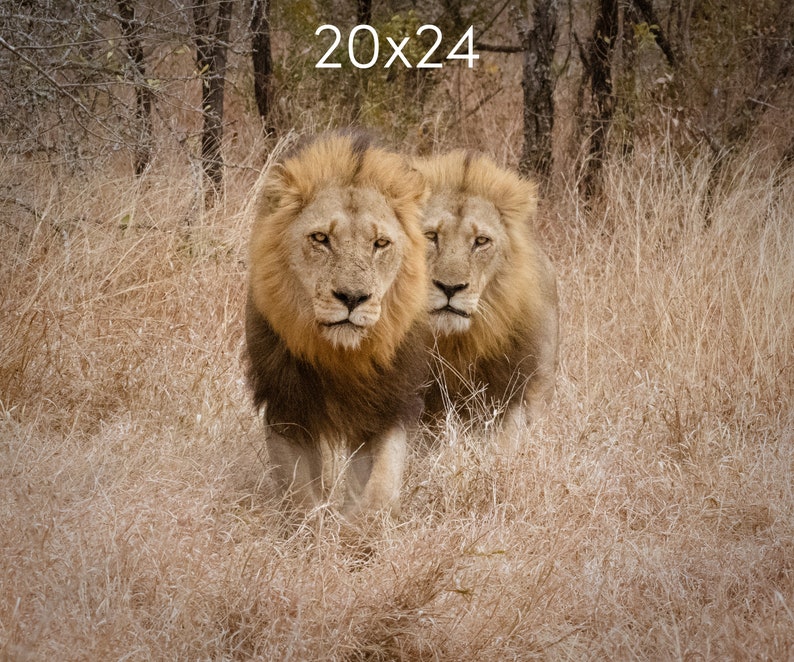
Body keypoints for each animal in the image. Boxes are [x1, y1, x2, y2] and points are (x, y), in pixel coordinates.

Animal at [245, 132, 428, 519]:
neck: (342, 355)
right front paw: (312, 525)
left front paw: (362, 522)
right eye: (320, 238)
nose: (352, 298)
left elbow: (381, 486)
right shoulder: (286, 407)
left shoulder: (388, 404)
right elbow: (300, 493)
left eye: (380, 243)